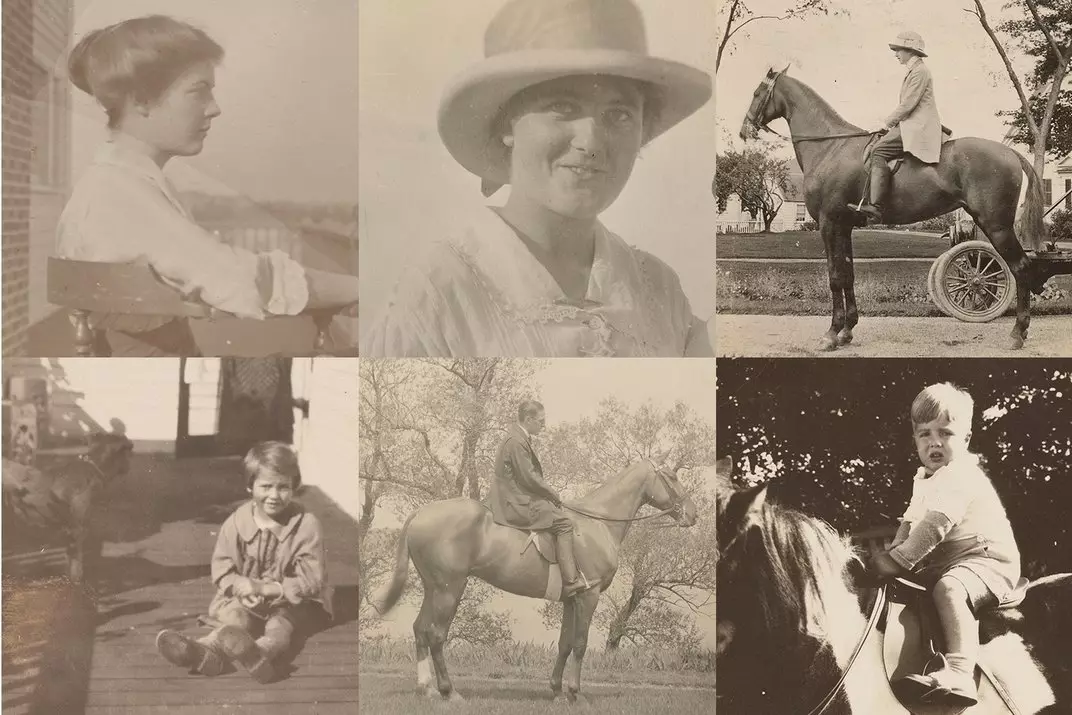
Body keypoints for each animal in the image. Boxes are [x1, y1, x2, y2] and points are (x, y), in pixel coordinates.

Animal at [2, 433, 134, 583]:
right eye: (128, 452)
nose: (129, 466)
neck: (93, 467)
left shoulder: (70, 534)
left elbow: (70, 562)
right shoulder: (77, 532)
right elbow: (77, 565)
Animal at [373, 458, 698, 703]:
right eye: (672, 477)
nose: (693, 514)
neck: (597, 523)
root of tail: (422, 512)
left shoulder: (571, 600)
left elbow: (564, 644)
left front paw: (556, 691)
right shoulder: (589, 596)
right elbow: (580, 643)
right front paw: (574, 693)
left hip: (433, 589)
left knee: (420, 630)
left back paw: (426, 689)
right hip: (449, 589)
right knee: (436, 634)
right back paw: (448, 692)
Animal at [737, 68, 1046, 353]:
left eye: (756, 93)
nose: (744, 130)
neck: (831, 147)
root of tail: (1008, 152)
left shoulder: (829, 224)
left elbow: (835, 277)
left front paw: (831, 334)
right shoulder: (844, 227)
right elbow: (847, 275)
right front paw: (847, 330)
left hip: (997, 226)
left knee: (1021, 269)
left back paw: (1017, 333)